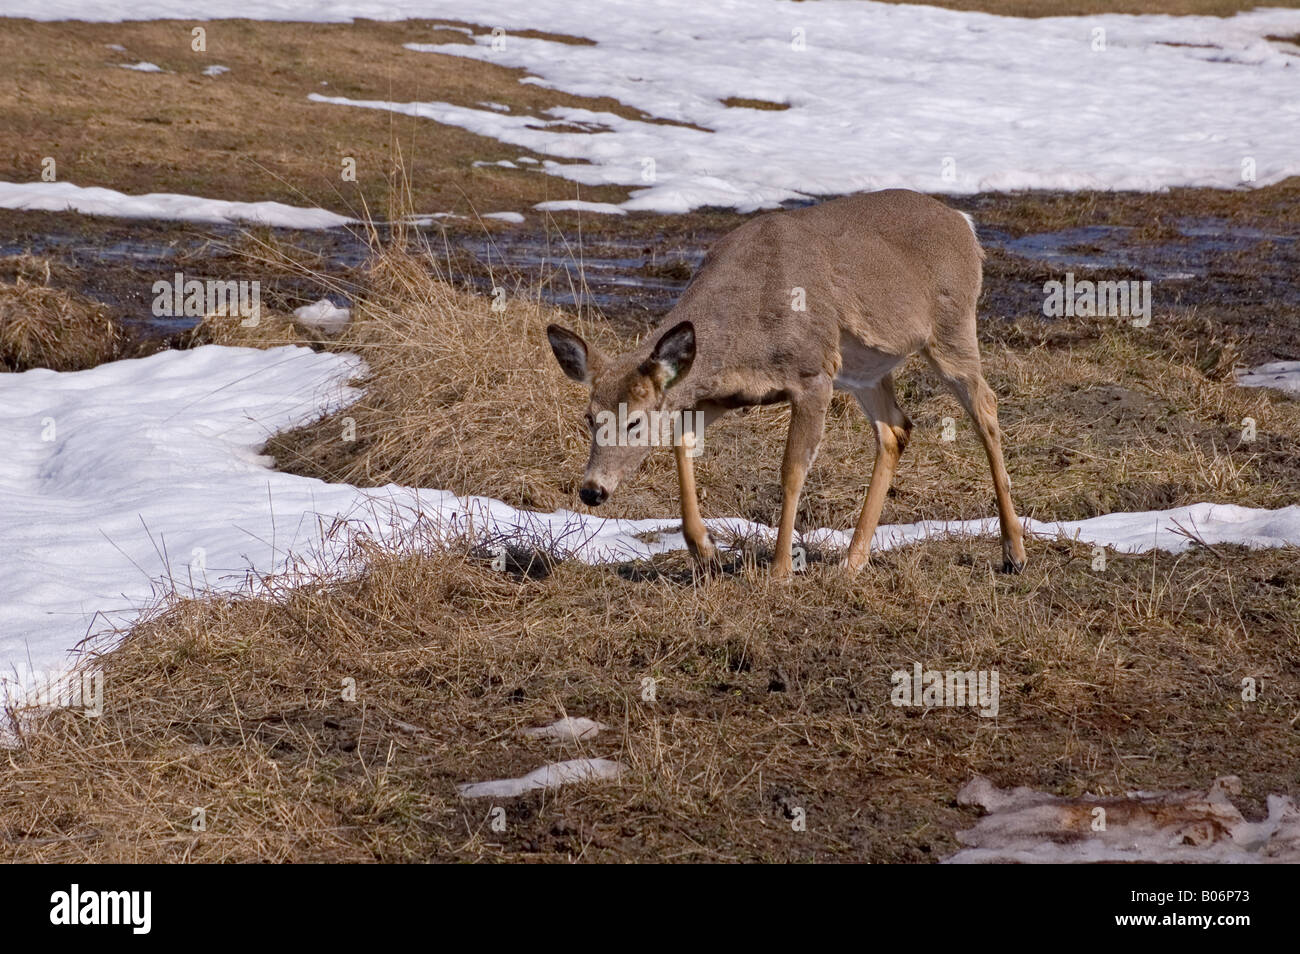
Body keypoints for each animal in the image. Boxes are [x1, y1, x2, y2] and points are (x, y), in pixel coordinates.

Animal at [546, 188, 1027, 579]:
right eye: (589, 417)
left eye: (634, 423)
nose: (591, 491)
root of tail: (964, 224)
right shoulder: (725, 391)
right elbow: (683, 437)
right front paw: (705, 551)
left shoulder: (812, 375)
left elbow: (793, 470)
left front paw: (779, 569)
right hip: (864, 366)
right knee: (896, 428)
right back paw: (852, 561)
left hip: (950, 327)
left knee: (985, 407)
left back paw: (1014, 553)